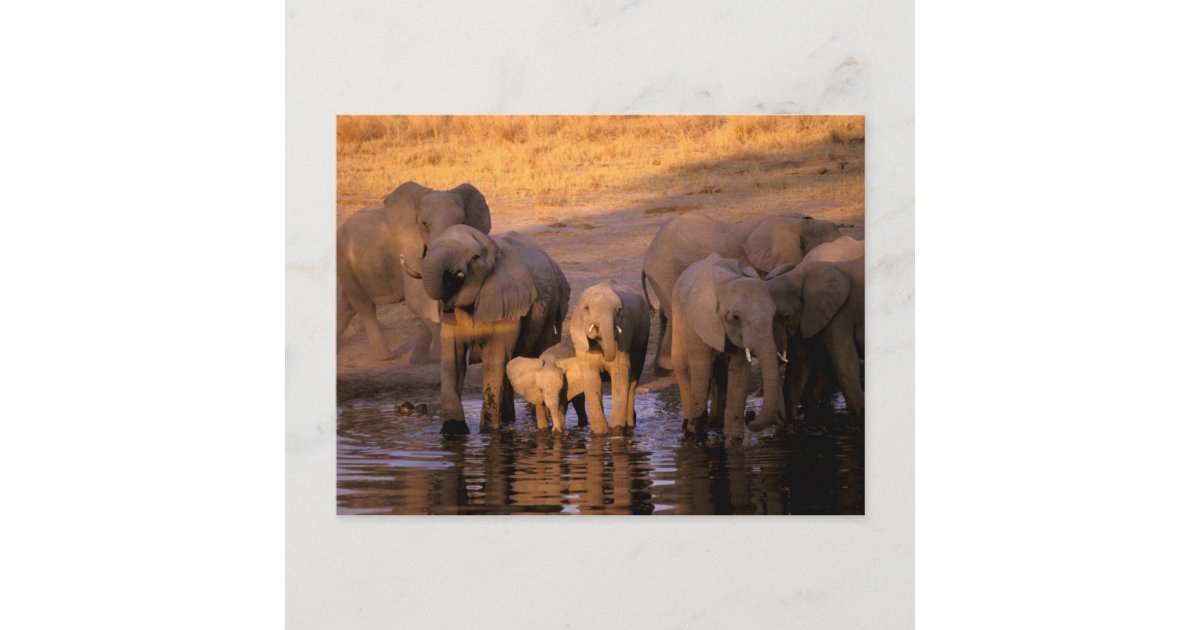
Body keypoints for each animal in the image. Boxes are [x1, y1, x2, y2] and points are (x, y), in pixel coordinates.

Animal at [336, 181, 491, 363]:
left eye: (463, 222)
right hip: (344, 260)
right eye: (424, 224)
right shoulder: (410, 247)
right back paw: (385, 357)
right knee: (363, 305)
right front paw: (440, 356)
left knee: (347, 307)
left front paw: (418, 360)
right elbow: (418, 299)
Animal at [422, 225, 571, 434]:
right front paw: (454, 431)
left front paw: (489, 432)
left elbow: (495, 357)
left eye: (475, 257)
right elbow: (453, 358)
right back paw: (508, 419)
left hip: (553, 308)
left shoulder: (507, 301)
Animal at [569, 282, 652, 435]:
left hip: (643, 340)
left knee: (633, 379)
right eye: (586, 308)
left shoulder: (624, 336)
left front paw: (616, 431)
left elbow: (619, 373)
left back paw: (630, 425)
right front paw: (599, 433)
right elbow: (592, 379)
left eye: (619, 310)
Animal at [670, 253, 787, 439]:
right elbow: (702, 369)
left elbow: (739, 371)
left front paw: (733, 438)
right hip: (677, 314)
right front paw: (695, 436)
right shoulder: (700, 321)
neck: (727, 282)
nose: (750, 414)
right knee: (683, 367)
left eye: (774, 314)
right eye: (736, 317)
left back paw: (716, 424)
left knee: (721, 373)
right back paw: (686, 424)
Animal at [766, 256, 865, 422]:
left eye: (786, 317)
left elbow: (844, 362)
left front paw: (860, 417)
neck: (797, 275)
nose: (783, 419)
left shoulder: (840, 313)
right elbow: (801, 363)